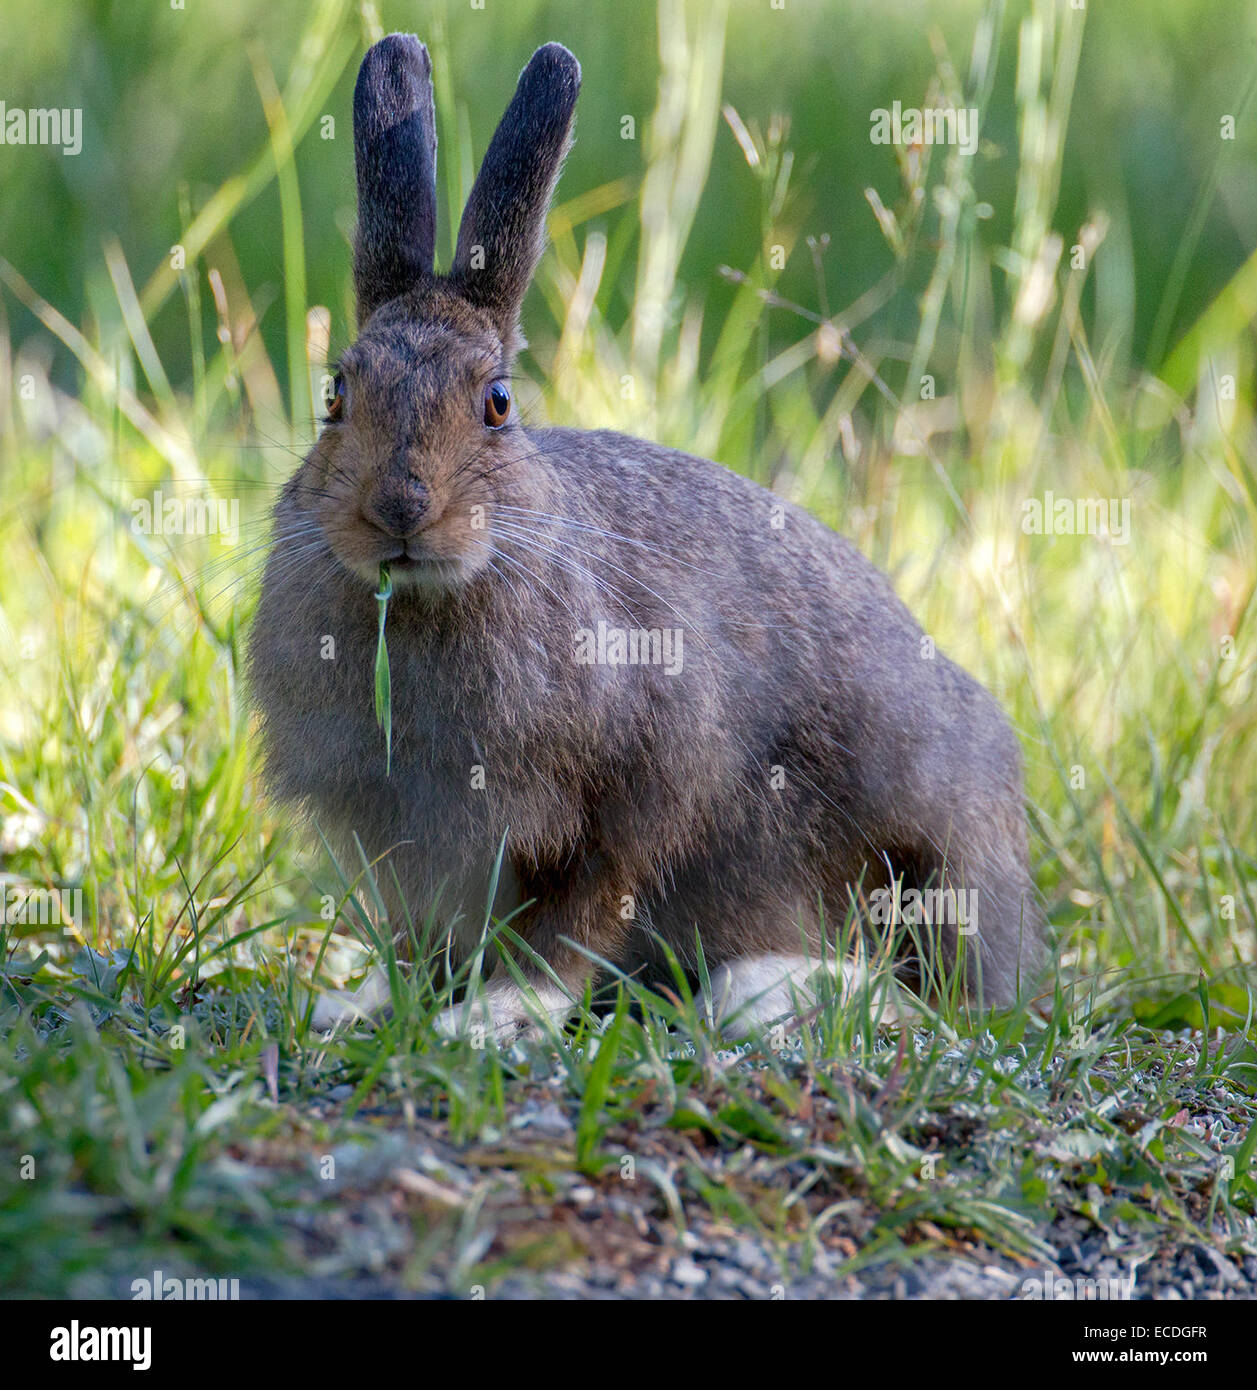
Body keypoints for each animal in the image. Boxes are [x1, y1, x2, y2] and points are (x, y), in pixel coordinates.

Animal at [247, 33, 1045, 1040]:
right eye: (335, 395)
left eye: (496, 403)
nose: (397, 509)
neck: (429, 599)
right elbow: (418, 940)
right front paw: (369, 1004)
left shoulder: (632, 802)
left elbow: (577, 923)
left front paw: (495, 1014)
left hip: (928, 833)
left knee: (935, 992)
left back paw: (767, 993)